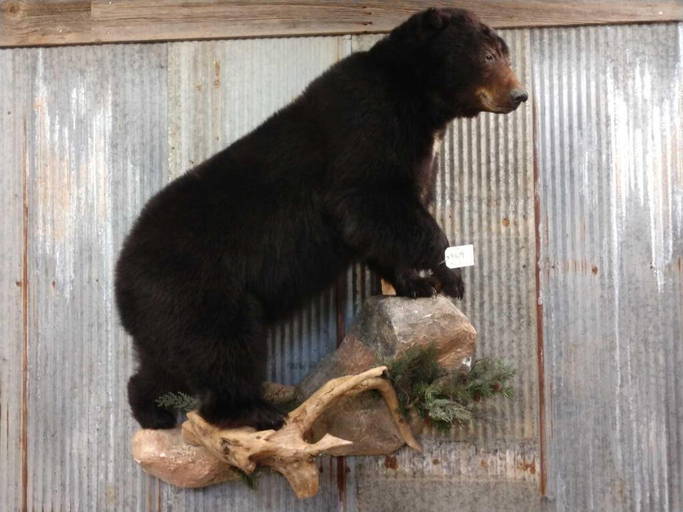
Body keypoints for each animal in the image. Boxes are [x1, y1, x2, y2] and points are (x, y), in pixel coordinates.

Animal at [115, 7, 527, 430]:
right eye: (489, 56)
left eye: (505, 54)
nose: (519, 95)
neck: (418, 100)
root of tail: (121, 278)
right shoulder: (368, 128)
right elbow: (373, 203)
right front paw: (449, 274)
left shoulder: (416, 154)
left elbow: (379, 228)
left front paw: (414, 283)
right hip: (201, 288)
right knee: (225, 347)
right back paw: (258, 411)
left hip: (169, 313)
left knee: (166, 362)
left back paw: (153, 411)